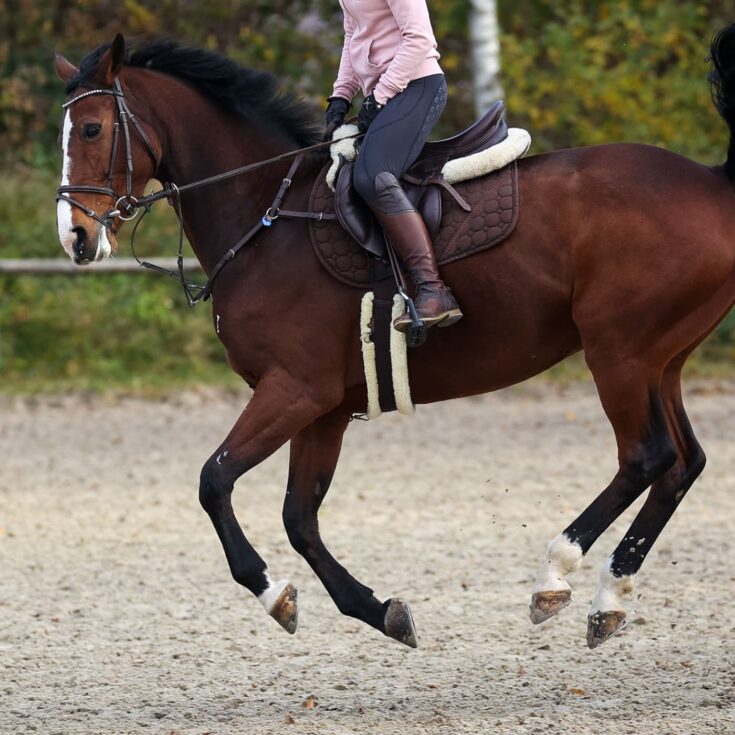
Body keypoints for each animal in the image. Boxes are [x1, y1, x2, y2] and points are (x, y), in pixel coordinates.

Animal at [53, 28, 735, 650]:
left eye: (90, 130)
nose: (76, 238)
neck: (265, 220)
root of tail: (714, 182)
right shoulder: (323, 410)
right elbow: (299, 518)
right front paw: (378, 610)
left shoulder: (294, 390)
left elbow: (214, 483)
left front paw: (275, 594)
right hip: (660, 362)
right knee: (683, 463)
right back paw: (609, 597)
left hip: (618, 354)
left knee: (646, 456)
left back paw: (556, 575)